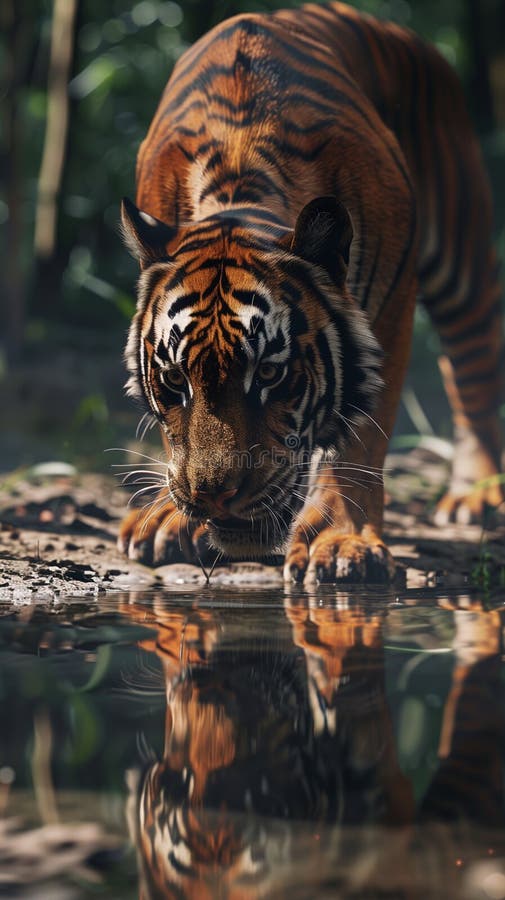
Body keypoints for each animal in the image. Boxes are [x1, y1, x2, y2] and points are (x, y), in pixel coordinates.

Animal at [118, 1, 504, 583]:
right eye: (173, 379)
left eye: (269, 375)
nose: (214, 499)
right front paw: (172, 518)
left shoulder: (388, 310)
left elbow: (360, 435)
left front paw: (345, 543)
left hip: (459, 250)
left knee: (473, 362)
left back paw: (476, 496)